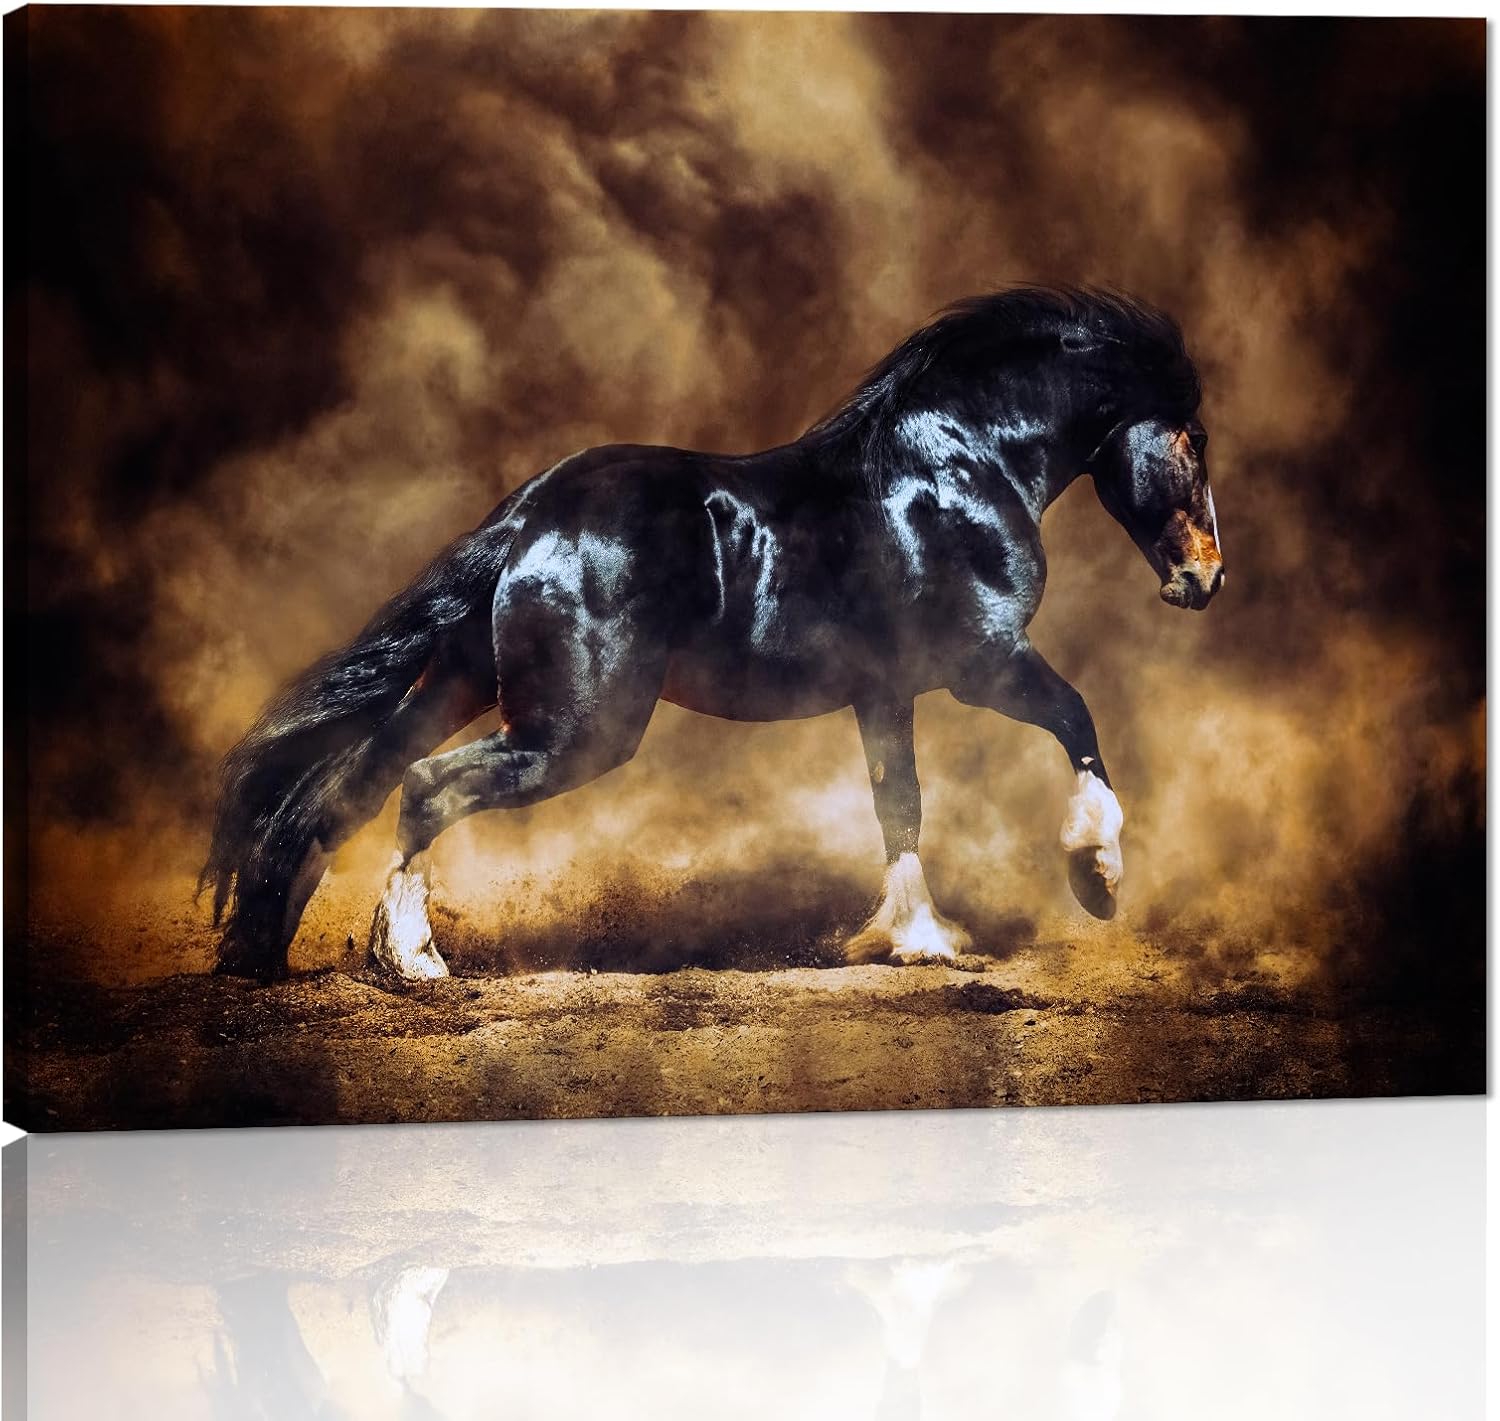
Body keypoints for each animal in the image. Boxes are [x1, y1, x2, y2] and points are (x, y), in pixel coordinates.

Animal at [201, 285, 1223, 982]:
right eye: (1193, 440)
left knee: (348, 785)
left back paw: (276, 946)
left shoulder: (885, 691)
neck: (961, 465)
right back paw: (412, 958)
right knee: (424, 787)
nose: (1204, 579)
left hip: (463, 682)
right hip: (578, 729)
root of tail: (530, 517)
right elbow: (1078, 720)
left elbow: (900, 804)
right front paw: (1098, 877)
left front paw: (915, 938)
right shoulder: (985, 662)